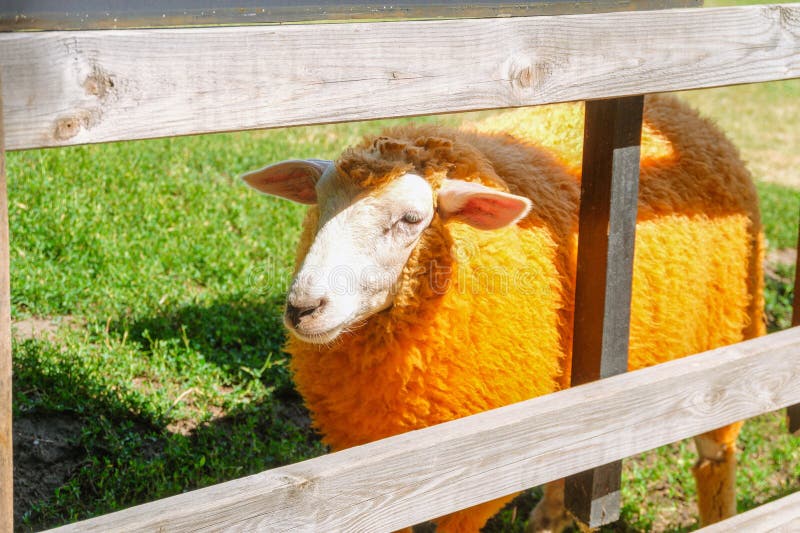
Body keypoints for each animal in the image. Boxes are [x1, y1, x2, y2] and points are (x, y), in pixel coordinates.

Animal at [242, 94, 764, 532]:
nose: (302, 308)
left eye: (411, 219)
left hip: (726, 334)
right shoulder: (378, 470)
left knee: (716, 456)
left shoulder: (473, 475)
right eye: (318, 203)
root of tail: (682, 111)